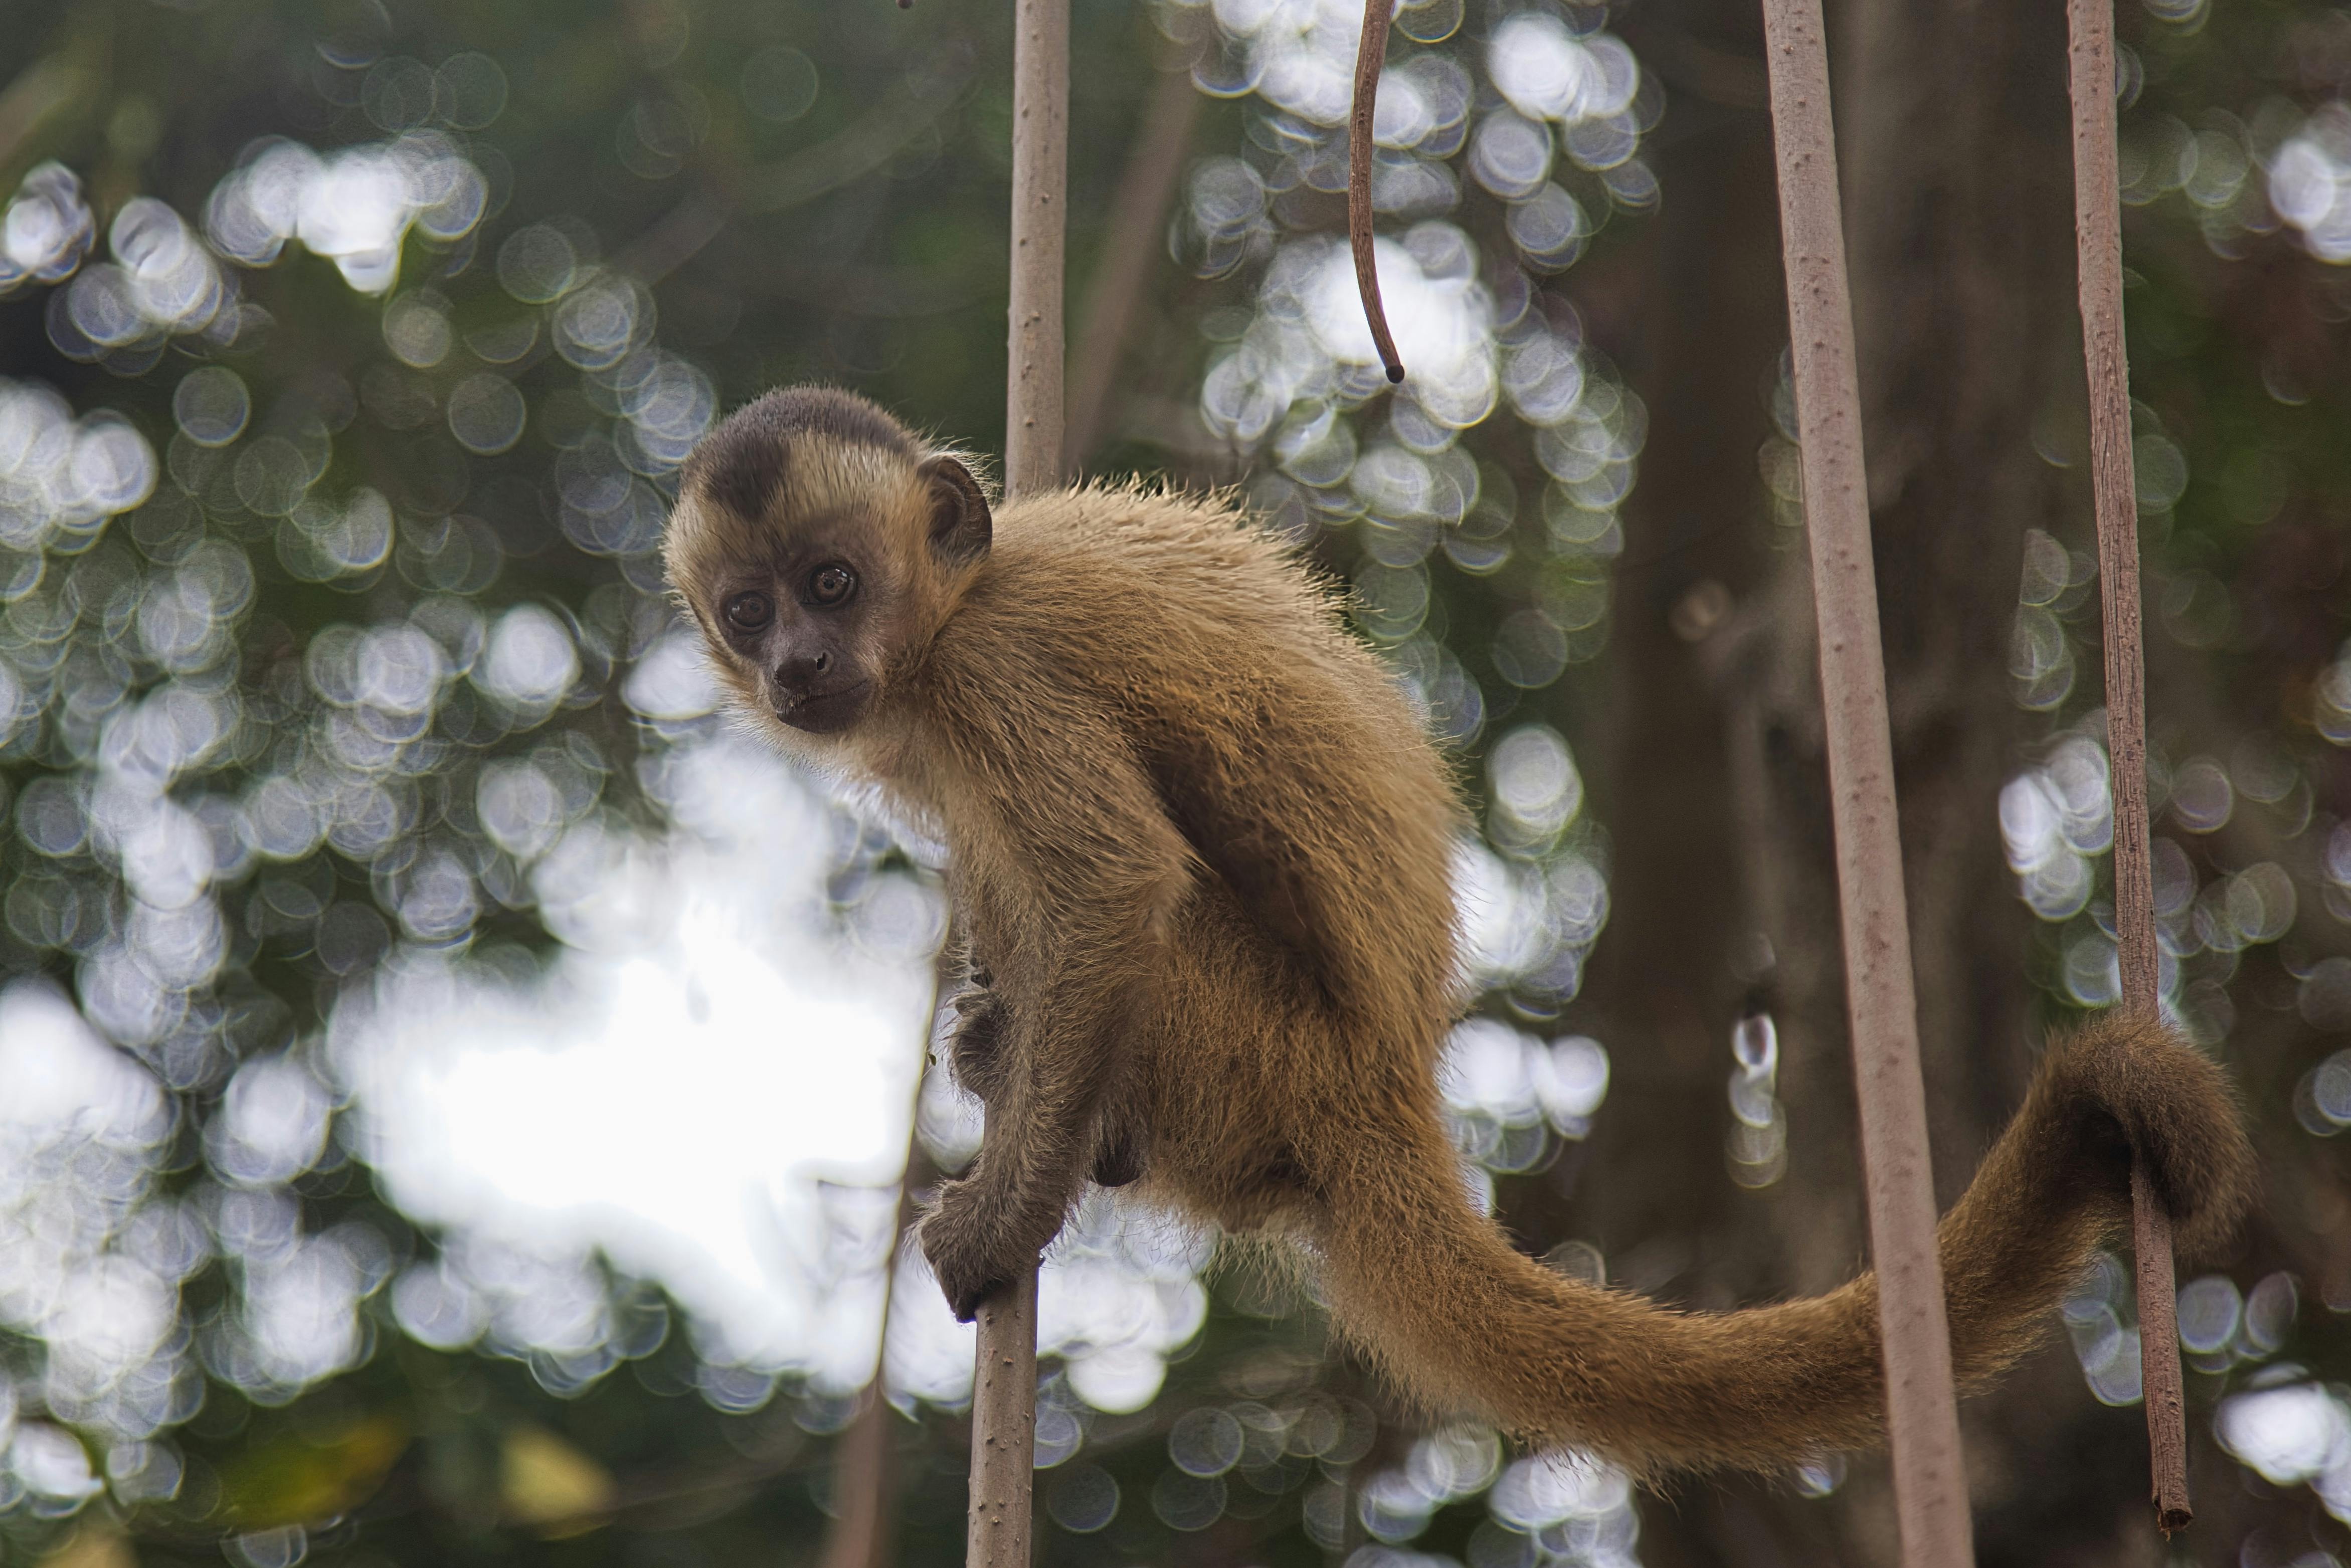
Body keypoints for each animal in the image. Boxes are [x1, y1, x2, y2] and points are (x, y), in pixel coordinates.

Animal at [661, 384, 2255, 1475]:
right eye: (748, 610)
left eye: (831, 583)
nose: (795, 662)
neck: (950, 611)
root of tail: (1381, 1085)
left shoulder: (995, 670)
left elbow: (1111, 887)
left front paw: (1001, 1209)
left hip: (1246, 1034)